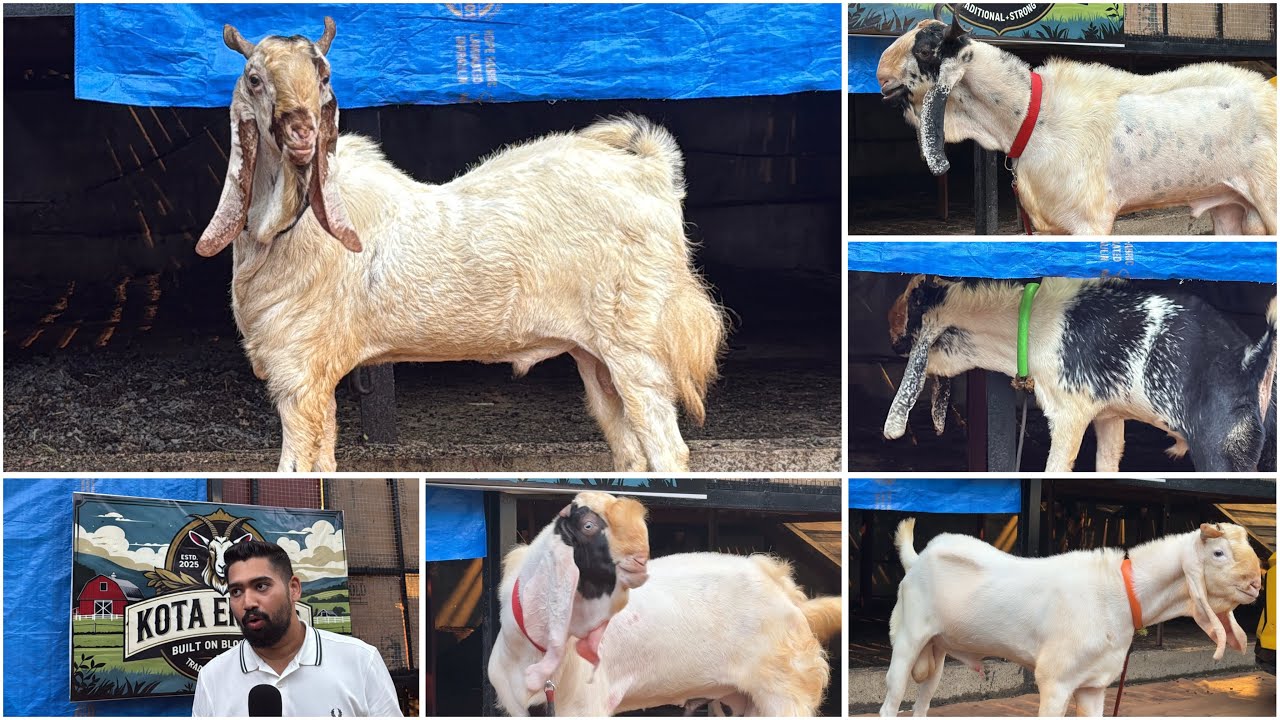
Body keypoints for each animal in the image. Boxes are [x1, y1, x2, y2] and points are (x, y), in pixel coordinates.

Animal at [197, 17, 727, 472]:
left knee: (666, 448)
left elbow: (298, 464)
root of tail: (651, 171)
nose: (301, 133)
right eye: (254, 79)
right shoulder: (315, 375)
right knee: (629, 451)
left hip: (637, 342)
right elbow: (324, 459)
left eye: (323, 76)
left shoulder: (298, 370)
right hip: (594, 355)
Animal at [882, 518, 1262, 716]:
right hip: (908, 639)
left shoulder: (1093, 685)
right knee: (892, 698)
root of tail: (917, 559)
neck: (1120, 593)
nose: (1256, 584)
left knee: (922, 702)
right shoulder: (1055, 680)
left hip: (937, 648)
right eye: (1218, 553)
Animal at [884, 274, 1278, 472]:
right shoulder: (1109, 416)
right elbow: (1107, 463)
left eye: (909, 313)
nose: (889, 336)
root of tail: (1250, 359)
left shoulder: (1069, 415)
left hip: (1222, 450)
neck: (1030, 325)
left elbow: (1056, 467)